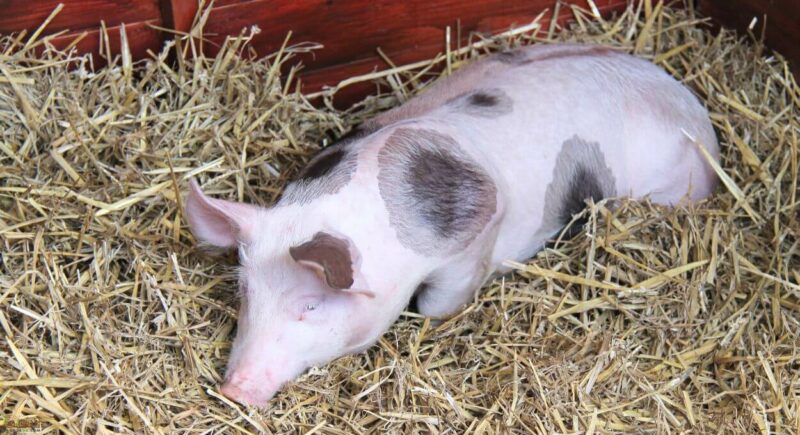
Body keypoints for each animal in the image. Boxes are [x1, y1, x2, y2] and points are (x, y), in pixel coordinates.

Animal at [185, 43, 719, 407]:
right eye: (245, 292)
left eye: (310, 304)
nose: (233, 389)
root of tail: (697, 112)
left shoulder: (474, 239)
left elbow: (437, 306)